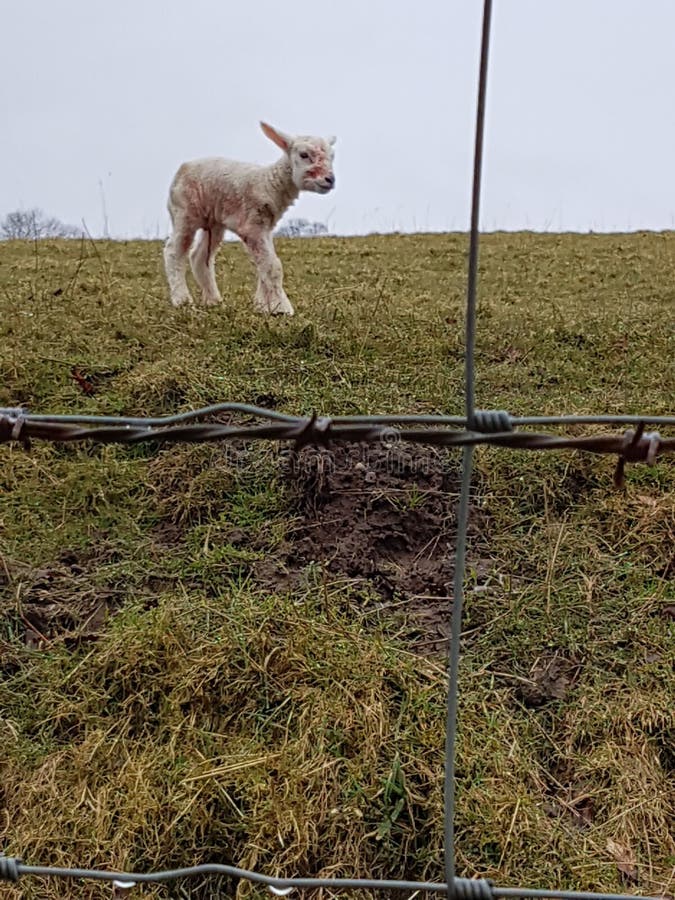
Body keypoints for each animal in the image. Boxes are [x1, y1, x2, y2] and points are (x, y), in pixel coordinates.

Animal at [163, 121, 336, 315]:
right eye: (304, 155)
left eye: (332, 156)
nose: (330, 180)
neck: (269, 184)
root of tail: (183, 168)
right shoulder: (252, 225)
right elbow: (273, 266)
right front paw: (282, 308)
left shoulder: (266, 227)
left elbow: (265, 266)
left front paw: (264, 306)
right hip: (184, 210)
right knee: (173, 251)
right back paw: (182, 301)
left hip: (214, 221)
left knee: (199, 257)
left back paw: (214, 301)